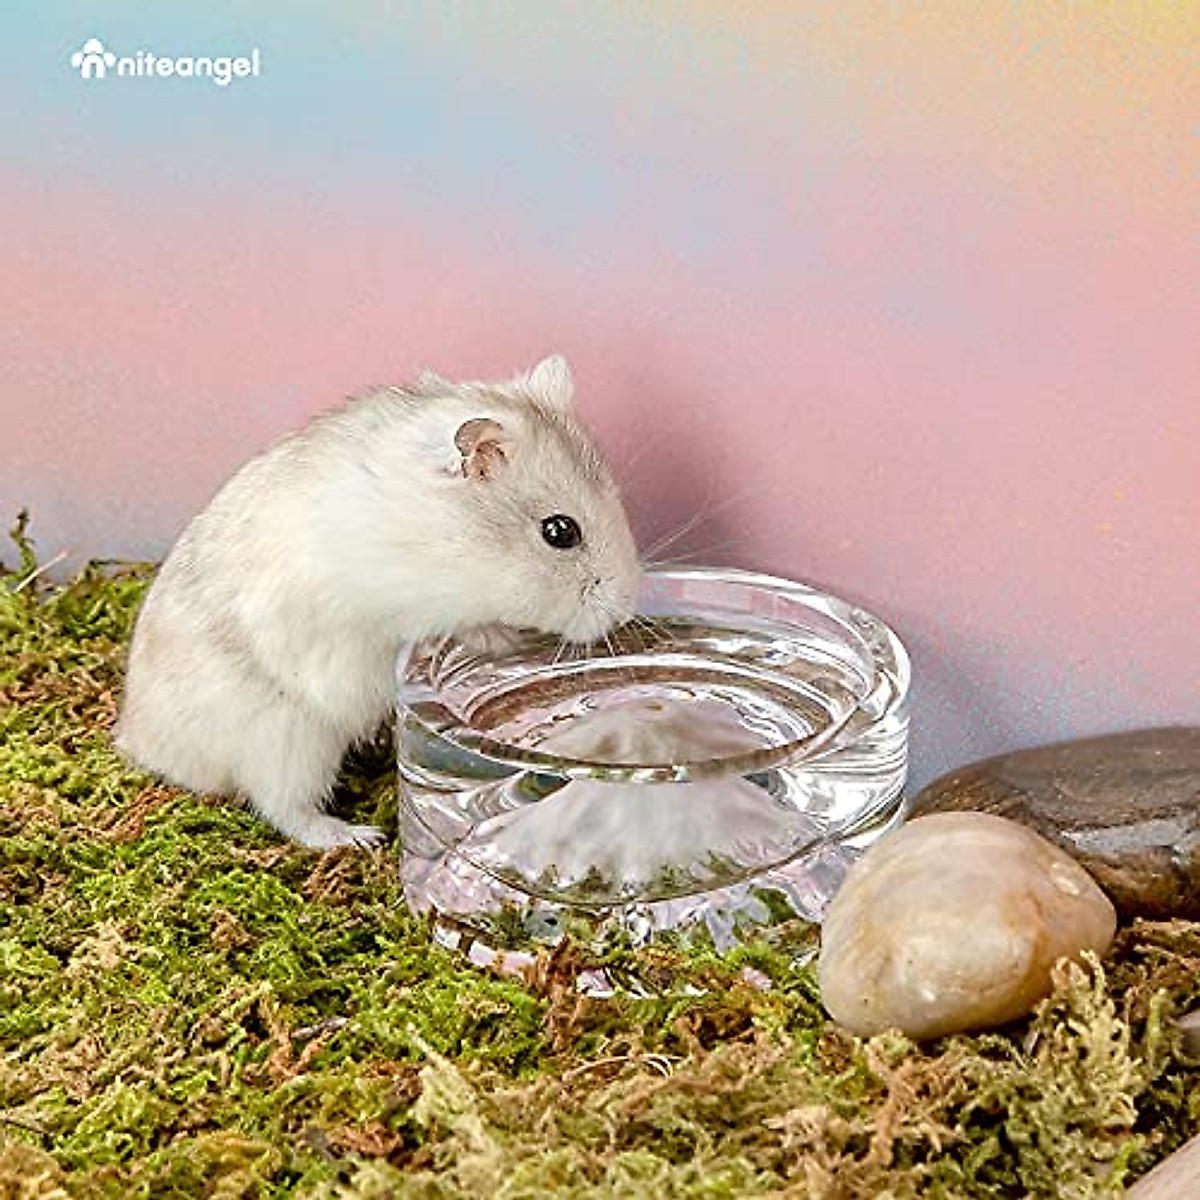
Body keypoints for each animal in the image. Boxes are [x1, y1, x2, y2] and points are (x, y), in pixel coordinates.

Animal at [115, 355, 641, 849]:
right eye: (560, 531)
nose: (625, 610)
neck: (440, 533)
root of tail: (137, 740)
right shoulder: (392, 606)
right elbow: (455, 626)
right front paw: (504, 639)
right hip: (286, 740)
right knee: (285, 808)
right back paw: (358, 836)